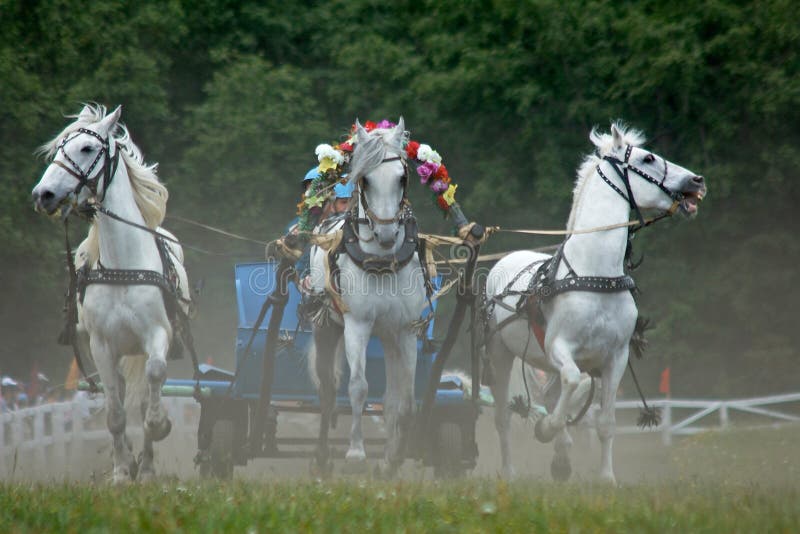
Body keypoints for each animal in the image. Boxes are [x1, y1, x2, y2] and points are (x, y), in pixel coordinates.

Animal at [32, 104, 192, 482]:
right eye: (58, 148)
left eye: (87, 148)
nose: (43, 195)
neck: (123, 264)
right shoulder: (101, 346)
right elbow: (115, 412)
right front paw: (121, 472)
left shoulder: (157, 335)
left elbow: (154, 383)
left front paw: (157, 432)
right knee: (118, 392)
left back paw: (146, 464)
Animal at [306, 118, 427, 476]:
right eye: (366, 179)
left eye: (402, 177)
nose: (386, 234)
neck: (383, 260)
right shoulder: (356, 325)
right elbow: (358, 388)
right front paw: (356, 451)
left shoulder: (405, 330)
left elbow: (404, 397)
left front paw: (394, 458)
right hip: (327, 327)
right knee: (328, 390)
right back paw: (322, 456)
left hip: (386, 335)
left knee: (390, 397)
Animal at [484, 122, 706, 483]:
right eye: (648, 158)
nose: (697, 181)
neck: (594, 274)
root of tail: (504, 261)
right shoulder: (559, 347)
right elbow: (571, 385)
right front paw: (546, 429)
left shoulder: (615, 359)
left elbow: (605, 422)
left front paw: (606, 478)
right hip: (500, 355)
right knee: (503, 417)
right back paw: (509, 471)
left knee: (555, 394)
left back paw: (561, 458)